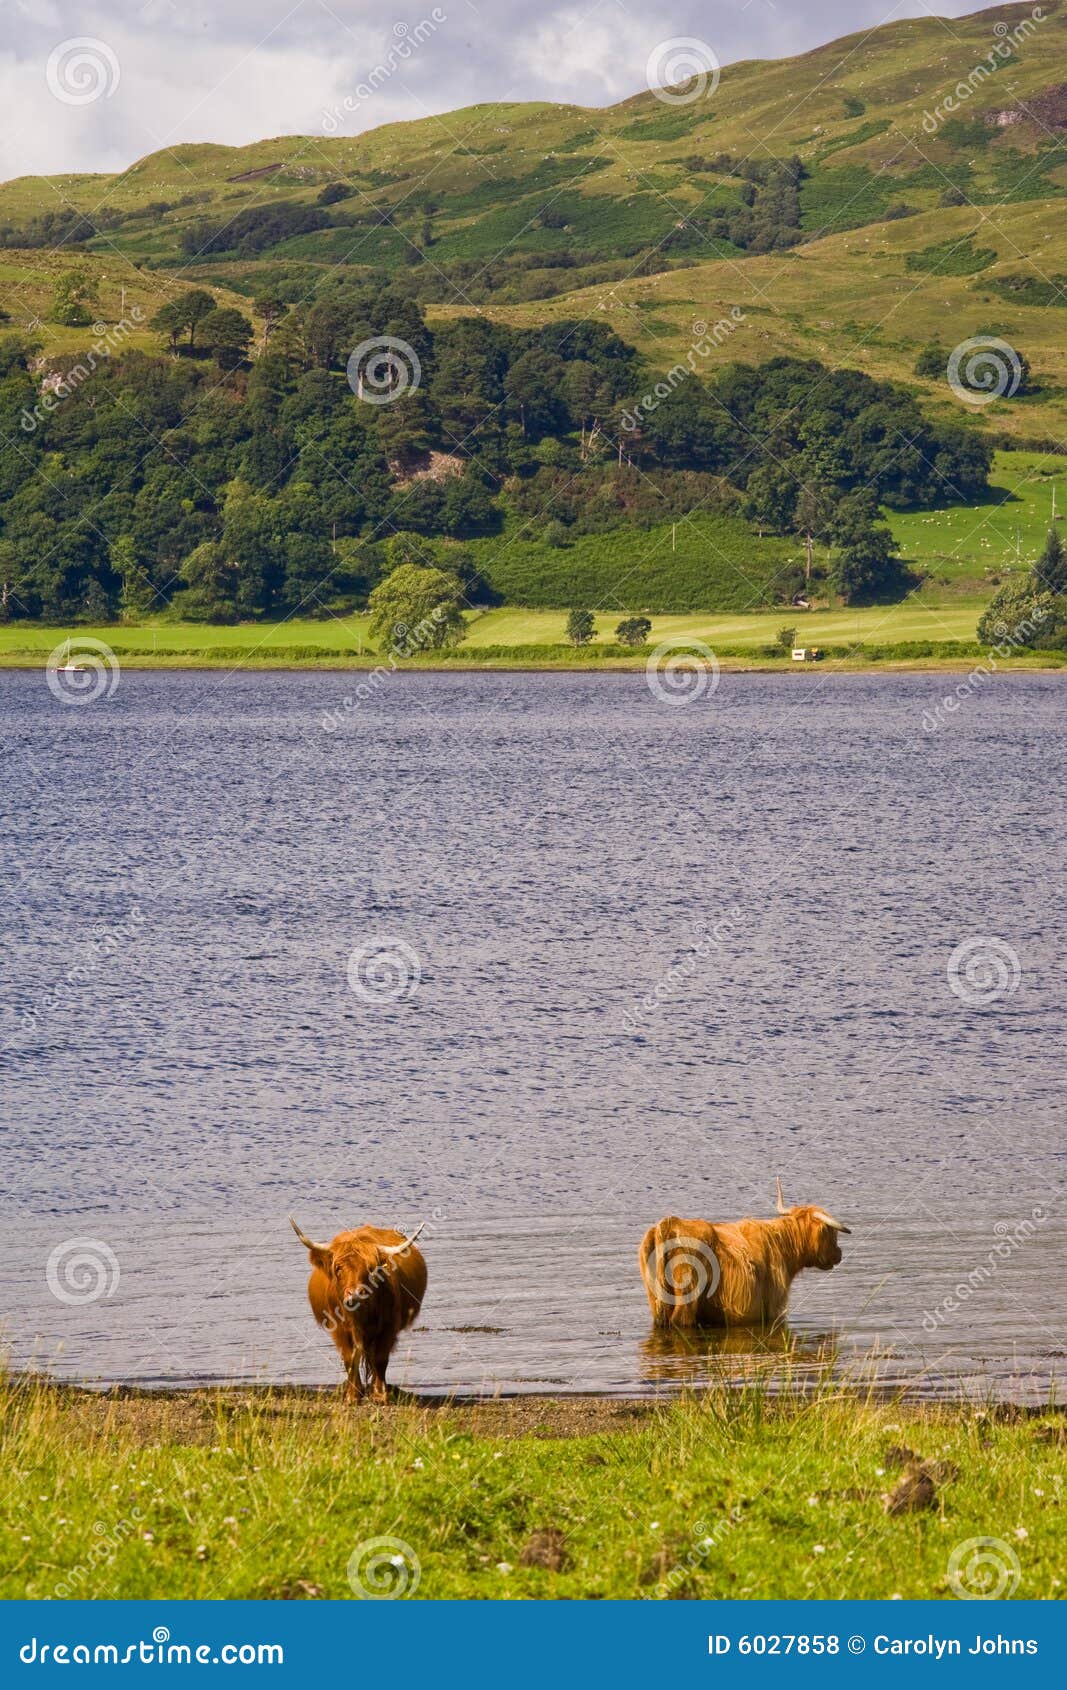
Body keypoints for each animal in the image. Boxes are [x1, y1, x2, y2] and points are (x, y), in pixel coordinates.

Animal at [289, 1217, 427, 1403]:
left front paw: (380, 1394)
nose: (355, 1294)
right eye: (338, 1268)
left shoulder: (389, 1326)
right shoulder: (339, 1329)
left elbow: (380, 1358)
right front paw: (352, 1395)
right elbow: (350, 1358)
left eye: (371, 1268)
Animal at [639, 1178, 851, 1330]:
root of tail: (667, 1224)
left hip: (657, 1303)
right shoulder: (773, 1305)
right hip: (687, 1299)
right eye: (831, 1233)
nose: (839, 1253)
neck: (783, 1245)